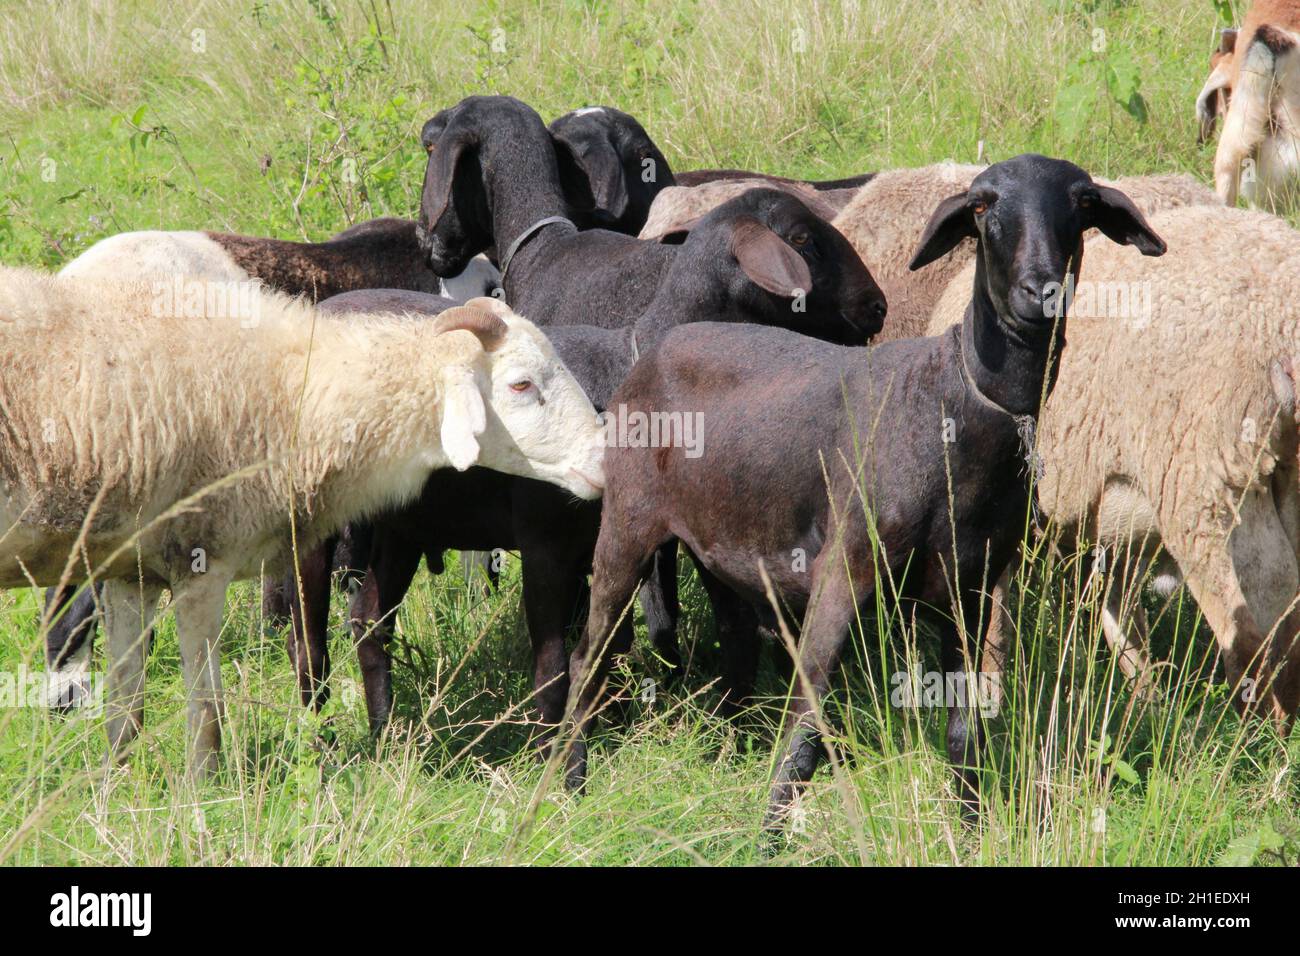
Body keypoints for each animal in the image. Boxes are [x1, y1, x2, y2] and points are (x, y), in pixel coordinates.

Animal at [0, 274, 606, 776]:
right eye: (522, 385)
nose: (603, 459)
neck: (295, 393)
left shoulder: (132, 572)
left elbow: (125, 714)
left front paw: (113, 801)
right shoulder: (200, 565)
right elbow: (206, 718)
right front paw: (202, 807)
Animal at [280, 184, 889, 734]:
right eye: (802, 239)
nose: (878, 306)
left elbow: (717, 637)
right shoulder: (547, 543)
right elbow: (555, 667)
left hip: (403, 524)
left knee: (367, 623)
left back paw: (385, 734)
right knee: (308, 633)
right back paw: (318, 729)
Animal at [560, 155, 1165, 829]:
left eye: (1083, 204)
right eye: (982, 206)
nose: (1040, 291)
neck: (953, 397)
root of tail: (658, 346)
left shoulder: (969, 589)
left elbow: (964, 730)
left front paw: (970, 826)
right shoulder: (844, 571)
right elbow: (805, 730)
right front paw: (767, 836)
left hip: (720, 545)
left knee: (735, 648)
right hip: (628, 525)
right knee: (588, 657)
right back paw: (570, 785)